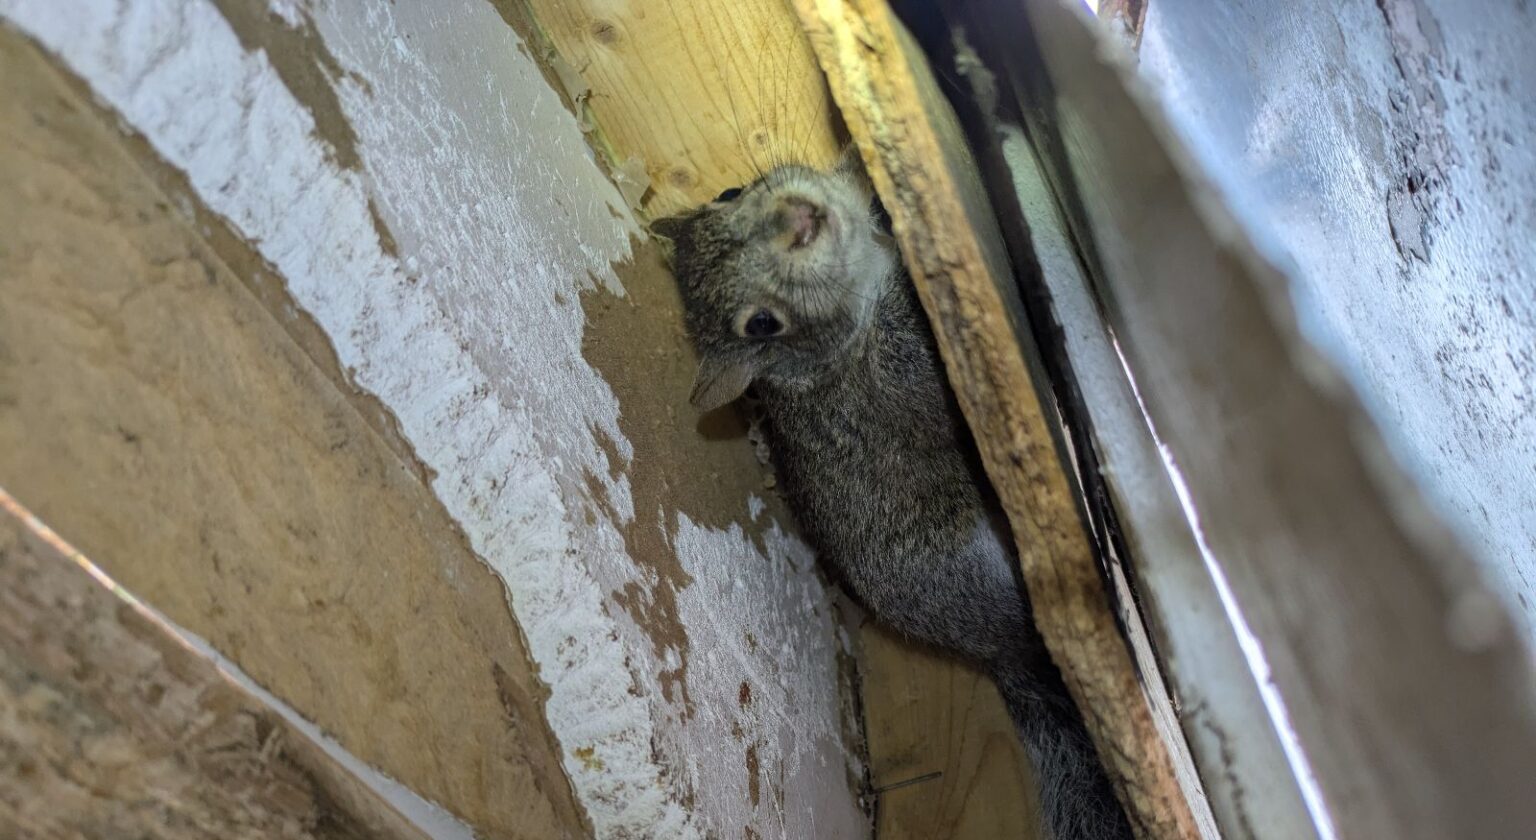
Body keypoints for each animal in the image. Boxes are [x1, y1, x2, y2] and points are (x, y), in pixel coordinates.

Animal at [653, 155, 1134, 840]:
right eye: (762, 324)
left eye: (729, 192)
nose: (798, 219)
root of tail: (996, 650)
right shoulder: (892, 381)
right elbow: (930, 378)